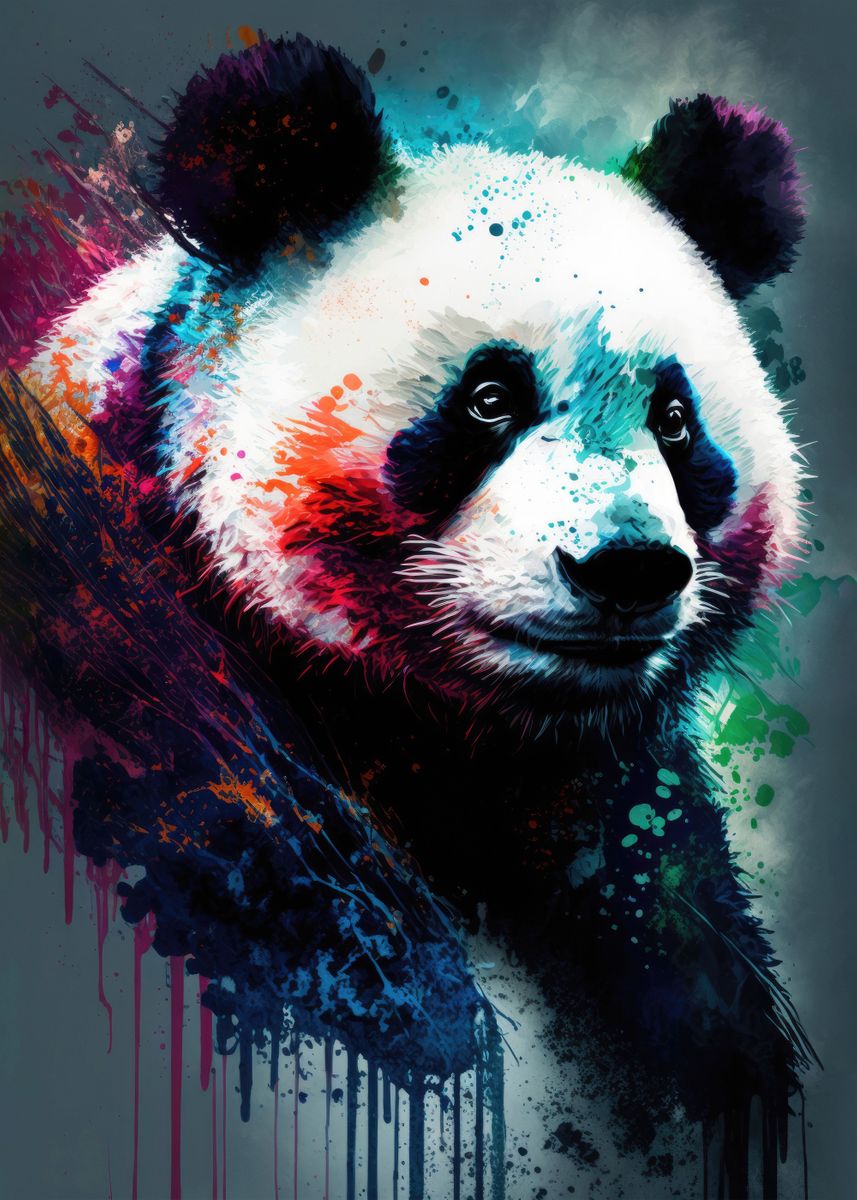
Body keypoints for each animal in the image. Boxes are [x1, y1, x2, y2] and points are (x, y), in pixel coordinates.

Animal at [15, 33, 813, 1200]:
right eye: (488, 399)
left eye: (674, 419)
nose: (627, 570)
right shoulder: (132, 653)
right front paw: (419, 1017)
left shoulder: (609, 799)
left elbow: (684, 949)